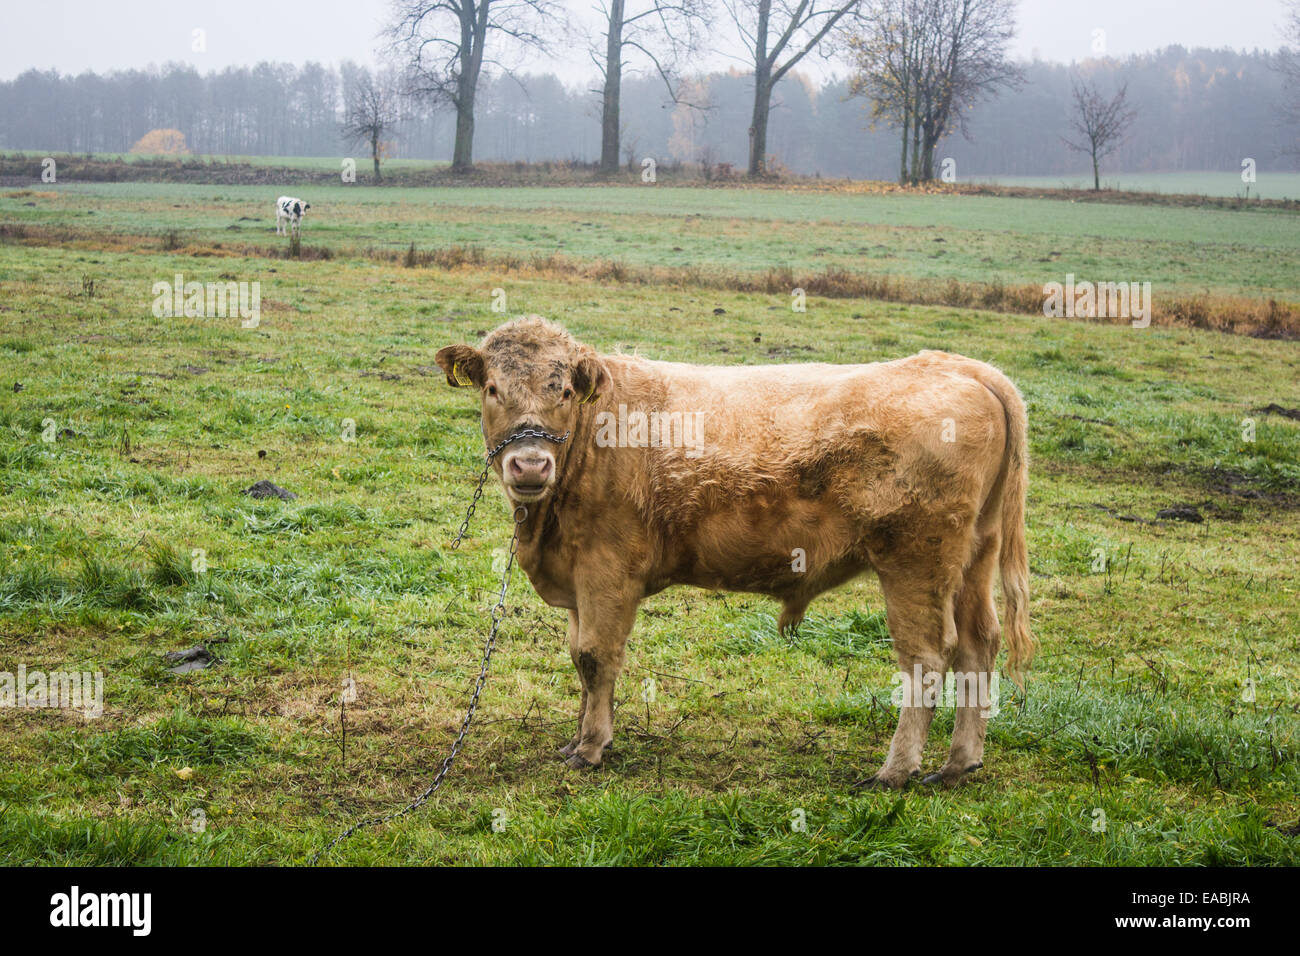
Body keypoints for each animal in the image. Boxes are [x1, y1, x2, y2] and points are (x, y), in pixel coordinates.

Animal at [435, 316, 1034, 788]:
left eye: (562, 392)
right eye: (492, 388)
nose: (530, 464)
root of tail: (962, 367)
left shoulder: (607, 571)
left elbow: (596, 656)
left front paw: (591, 747)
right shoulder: (579, 577)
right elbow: (578, 659)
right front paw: (577, 739)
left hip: (916, 560)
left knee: (927, 658)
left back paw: (896, 770)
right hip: (972, 558)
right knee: (979, 646)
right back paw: (958, 764)